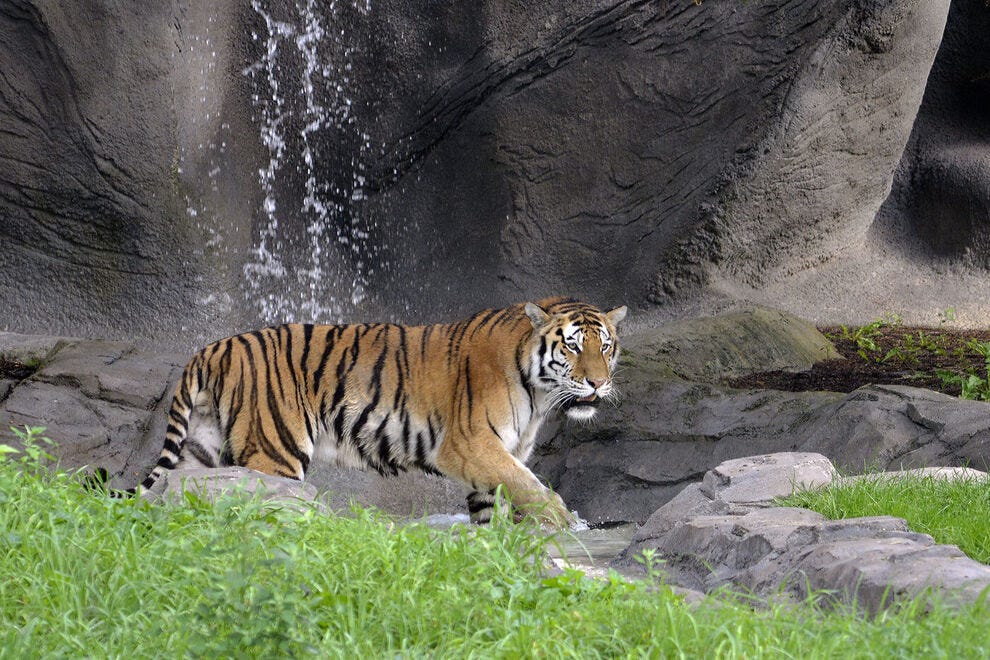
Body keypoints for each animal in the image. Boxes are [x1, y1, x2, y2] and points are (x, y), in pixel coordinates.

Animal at [124, 297, 626, 528]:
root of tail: (210, 349)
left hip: (201, 446)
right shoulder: (470, 445)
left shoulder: (499, 455)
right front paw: (565, 523)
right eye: (573, 347)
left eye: (605, 348)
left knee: (178, 492)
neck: (538, 391)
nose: (598, 382)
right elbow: (528, 485)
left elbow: (498, 504)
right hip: (275, 449)